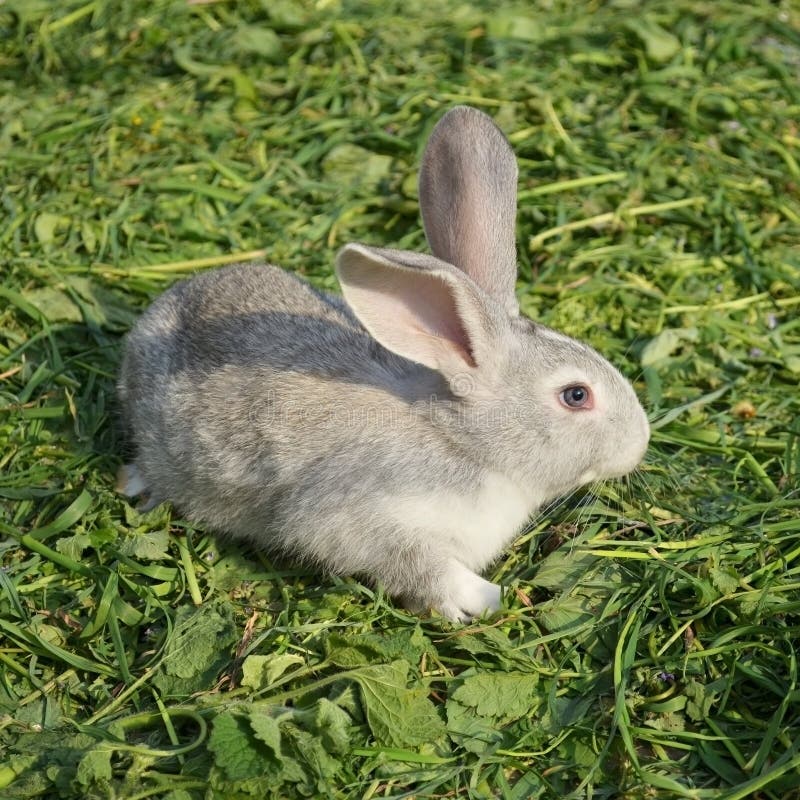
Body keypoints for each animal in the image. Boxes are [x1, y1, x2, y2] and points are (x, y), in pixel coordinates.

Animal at [117, 106, 650, 622]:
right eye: (576, 395)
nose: (641, 444)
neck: (464, 442)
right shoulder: (365, 519)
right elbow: (418, 566)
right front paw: (478, 599)